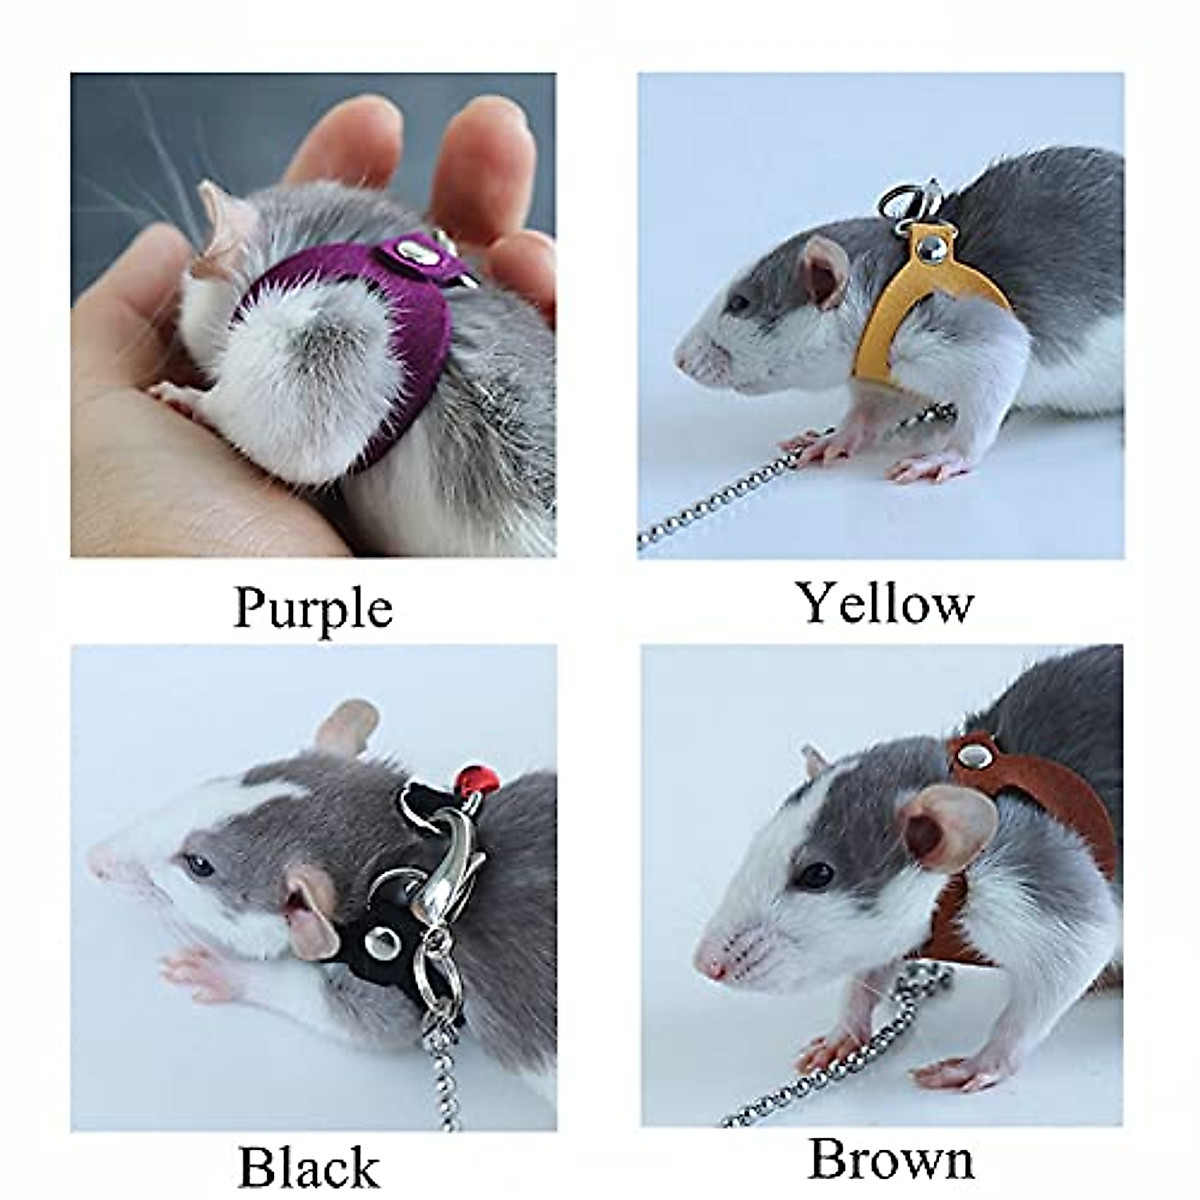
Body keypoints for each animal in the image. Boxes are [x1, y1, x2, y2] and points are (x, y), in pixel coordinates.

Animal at [87, 699, 557, 1101]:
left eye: (199, 864)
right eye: (217, 784)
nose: (95, 860)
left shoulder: (404, 973)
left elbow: (369, 1020)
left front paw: (225, 971)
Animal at [675, 147, 1123, 483]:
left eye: (740, 304)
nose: (680, 359)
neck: (890, 285)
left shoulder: (948, 327)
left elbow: (1002, 362)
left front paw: (950, 455)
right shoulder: (885, 373)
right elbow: (876, 407)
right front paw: (837, 437)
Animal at [693, 645, 1122, 1092]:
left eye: (817, 874)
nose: (707, 963)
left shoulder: (1027, 877)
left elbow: (1082, 947)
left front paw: (984, 1061)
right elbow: (872, 969)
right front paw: (844, 1031)